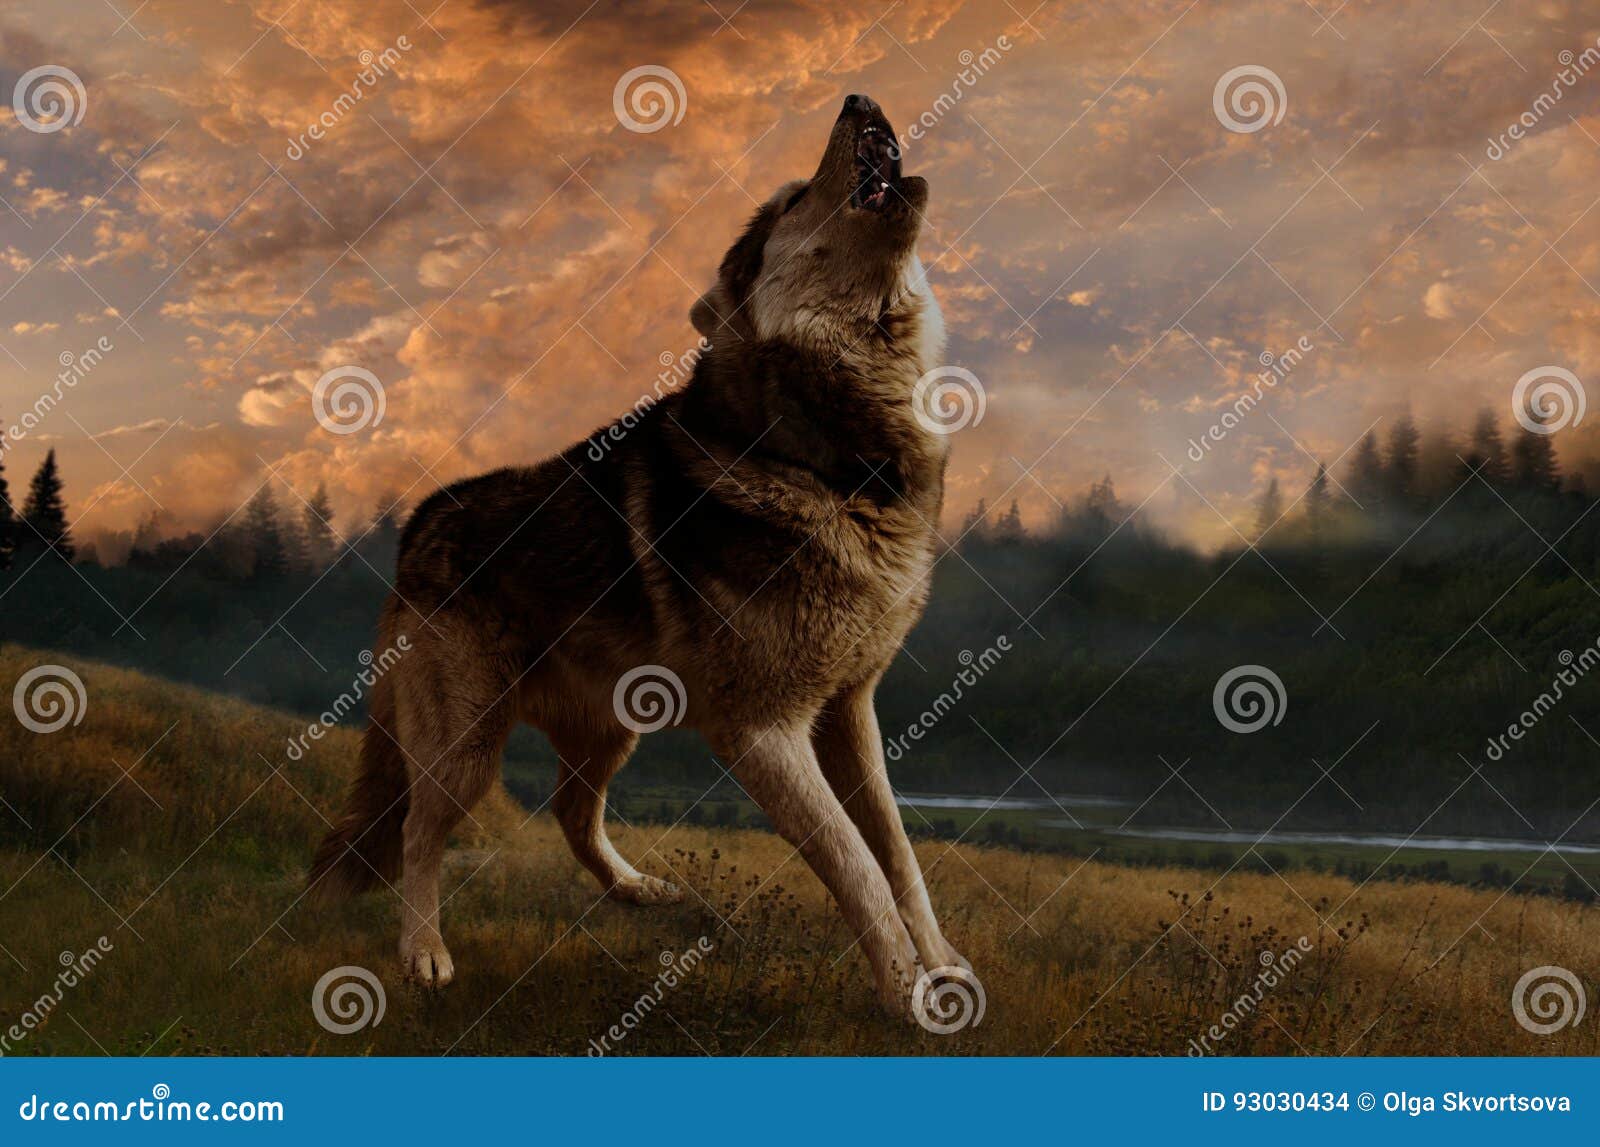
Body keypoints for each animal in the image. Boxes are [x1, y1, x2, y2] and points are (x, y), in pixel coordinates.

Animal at [311, 94, 967, 1014]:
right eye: (794, 200)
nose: (859, 101)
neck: (836, 464)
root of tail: (419, 520)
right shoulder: (763, 733)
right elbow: (856, 866)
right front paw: (912, 999)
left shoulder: (850, 710)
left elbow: (901, 858)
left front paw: (944, 967)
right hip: (468, 748)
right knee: (418, 830)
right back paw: (424, 952)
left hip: (616, 726)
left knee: (569, 811)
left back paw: (637, 890)